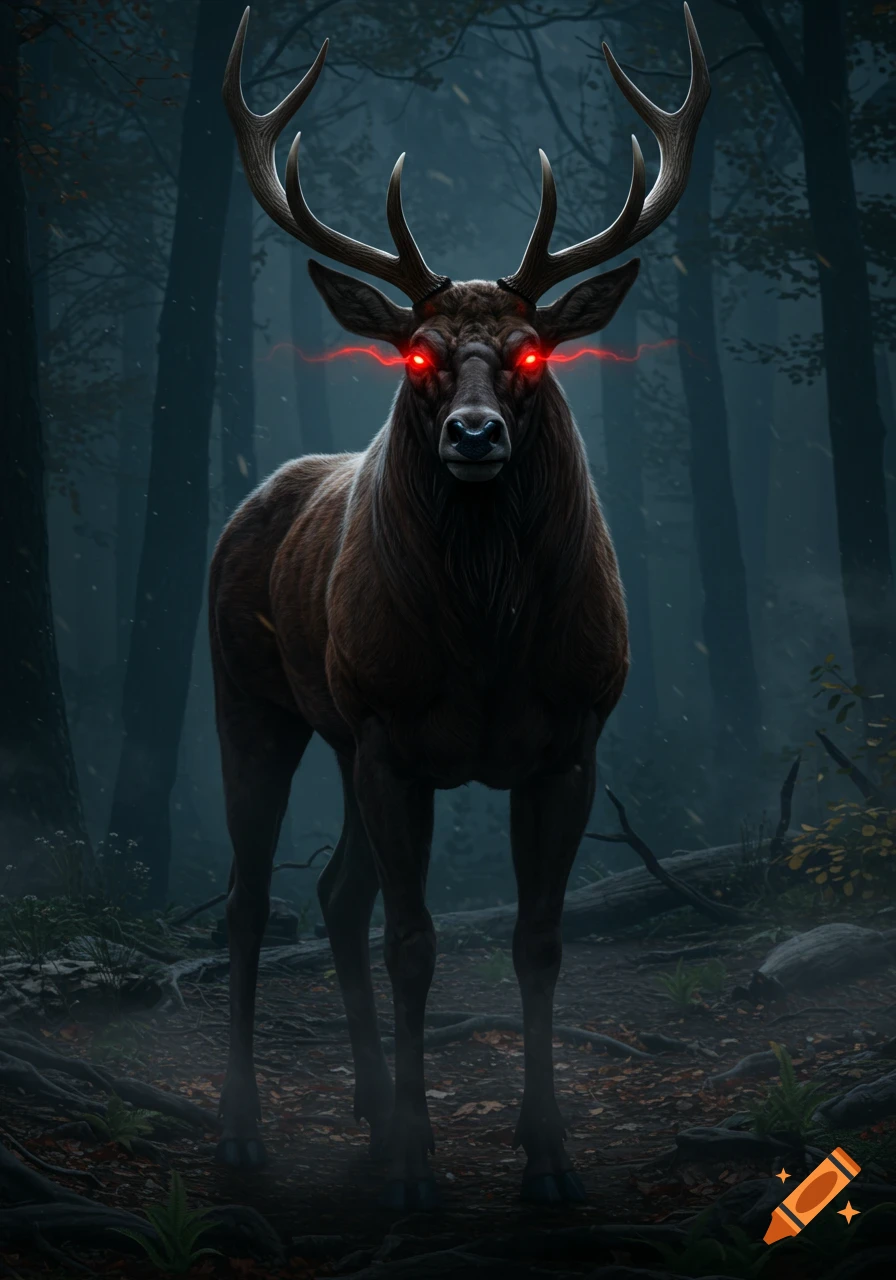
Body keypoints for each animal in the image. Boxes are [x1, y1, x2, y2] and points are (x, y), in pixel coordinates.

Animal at [212, 4, 709, 1210]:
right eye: (415, 356)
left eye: (529, 353)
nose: (472, 436)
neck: (487, 647)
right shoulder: (395, 735)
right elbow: (416, 941)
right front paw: (417, 1166)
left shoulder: (569, 740)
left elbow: (537, 940)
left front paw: (547, 1156)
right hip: (255, 701)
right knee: (252, 903)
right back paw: (248, 1136)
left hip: (340, 737)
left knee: (333, 893)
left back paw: (364, 1112)